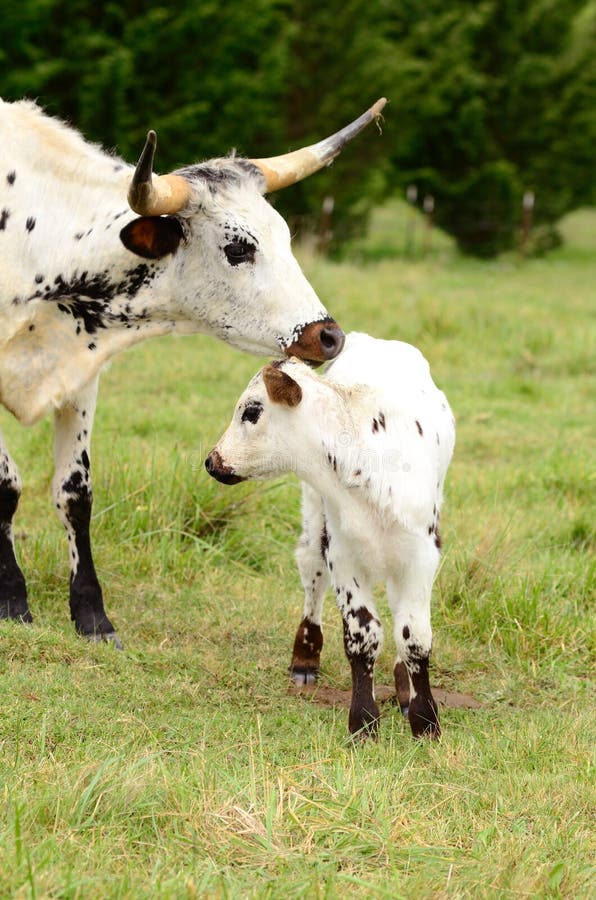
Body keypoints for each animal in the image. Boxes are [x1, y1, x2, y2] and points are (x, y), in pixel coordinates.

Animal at [0, 97, 387, 647]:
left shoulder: (81, 376)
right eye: (238, 248)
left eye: (286, 236)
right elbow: (7, 485)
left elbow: (74, 493)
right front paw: (12, 600)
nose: (329, 336)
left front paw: (92, 615)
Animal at [205, 332, 455, 739]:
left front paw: (424, 719)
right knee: (311, 569)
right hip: (314, 516)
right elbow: (362, 636)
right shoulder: (342, 552)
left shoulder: (421, 554)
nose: (212, 461)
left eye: (252, 411)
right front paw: (364, 720)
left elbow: (414, 636)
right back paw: (305, 657)